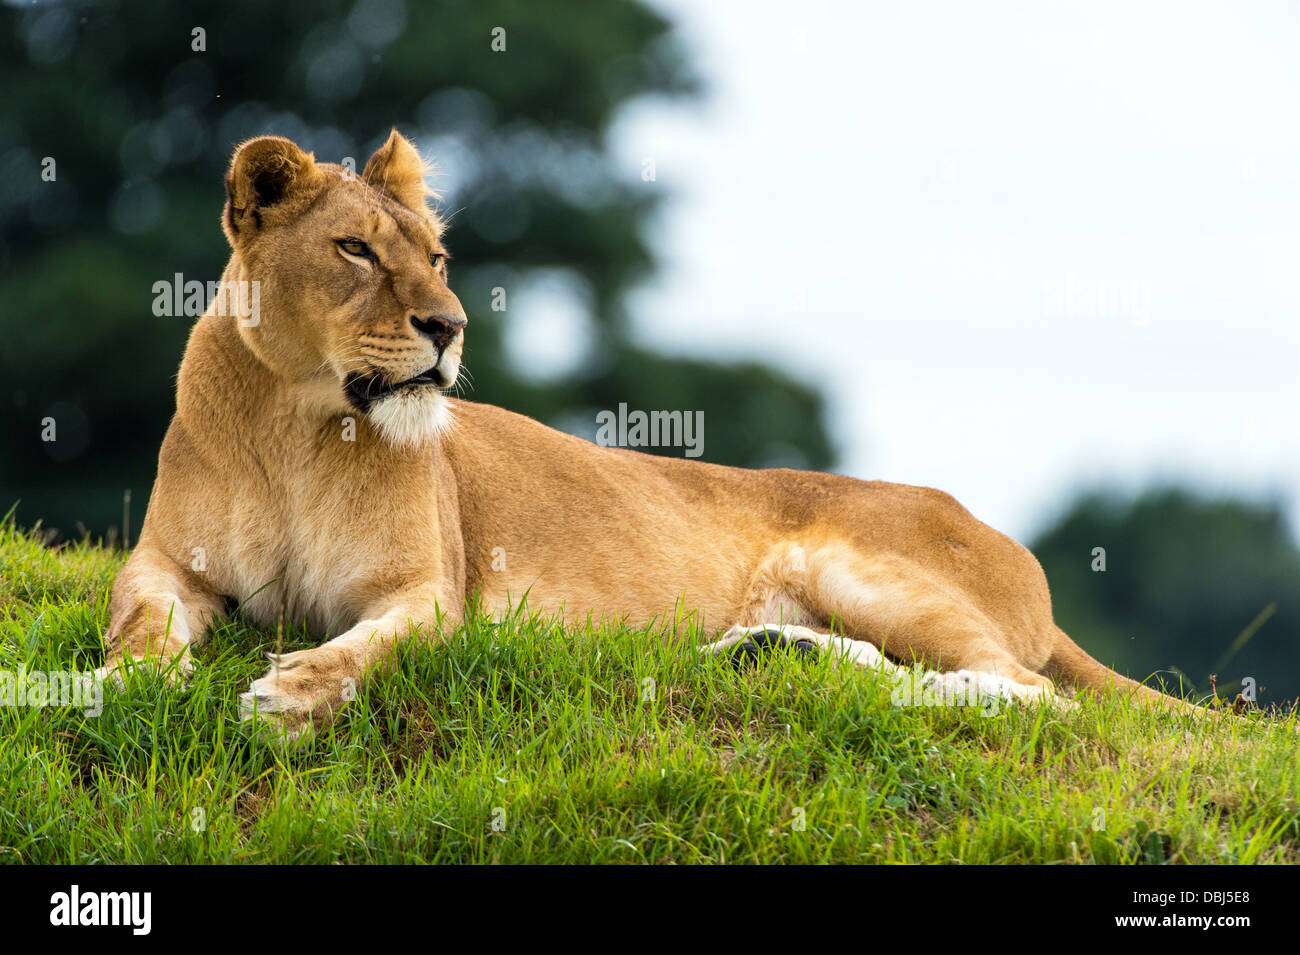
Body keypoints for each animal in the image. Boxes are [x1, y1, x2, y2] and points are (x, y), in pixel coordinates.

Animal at [99, 130, 1192, 735]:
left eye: (438, 257)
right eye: (356, 250)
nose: (450, 326)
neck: (300, 424)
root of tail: (1020, 557)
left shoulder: (426, 590)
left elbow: (379, 645)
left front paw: (295, 695)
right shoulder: (165, 563)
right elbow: (138, 621)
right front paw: (122, 686)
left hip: (861, 567)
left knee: (1029, 693)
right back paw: (770, 653)